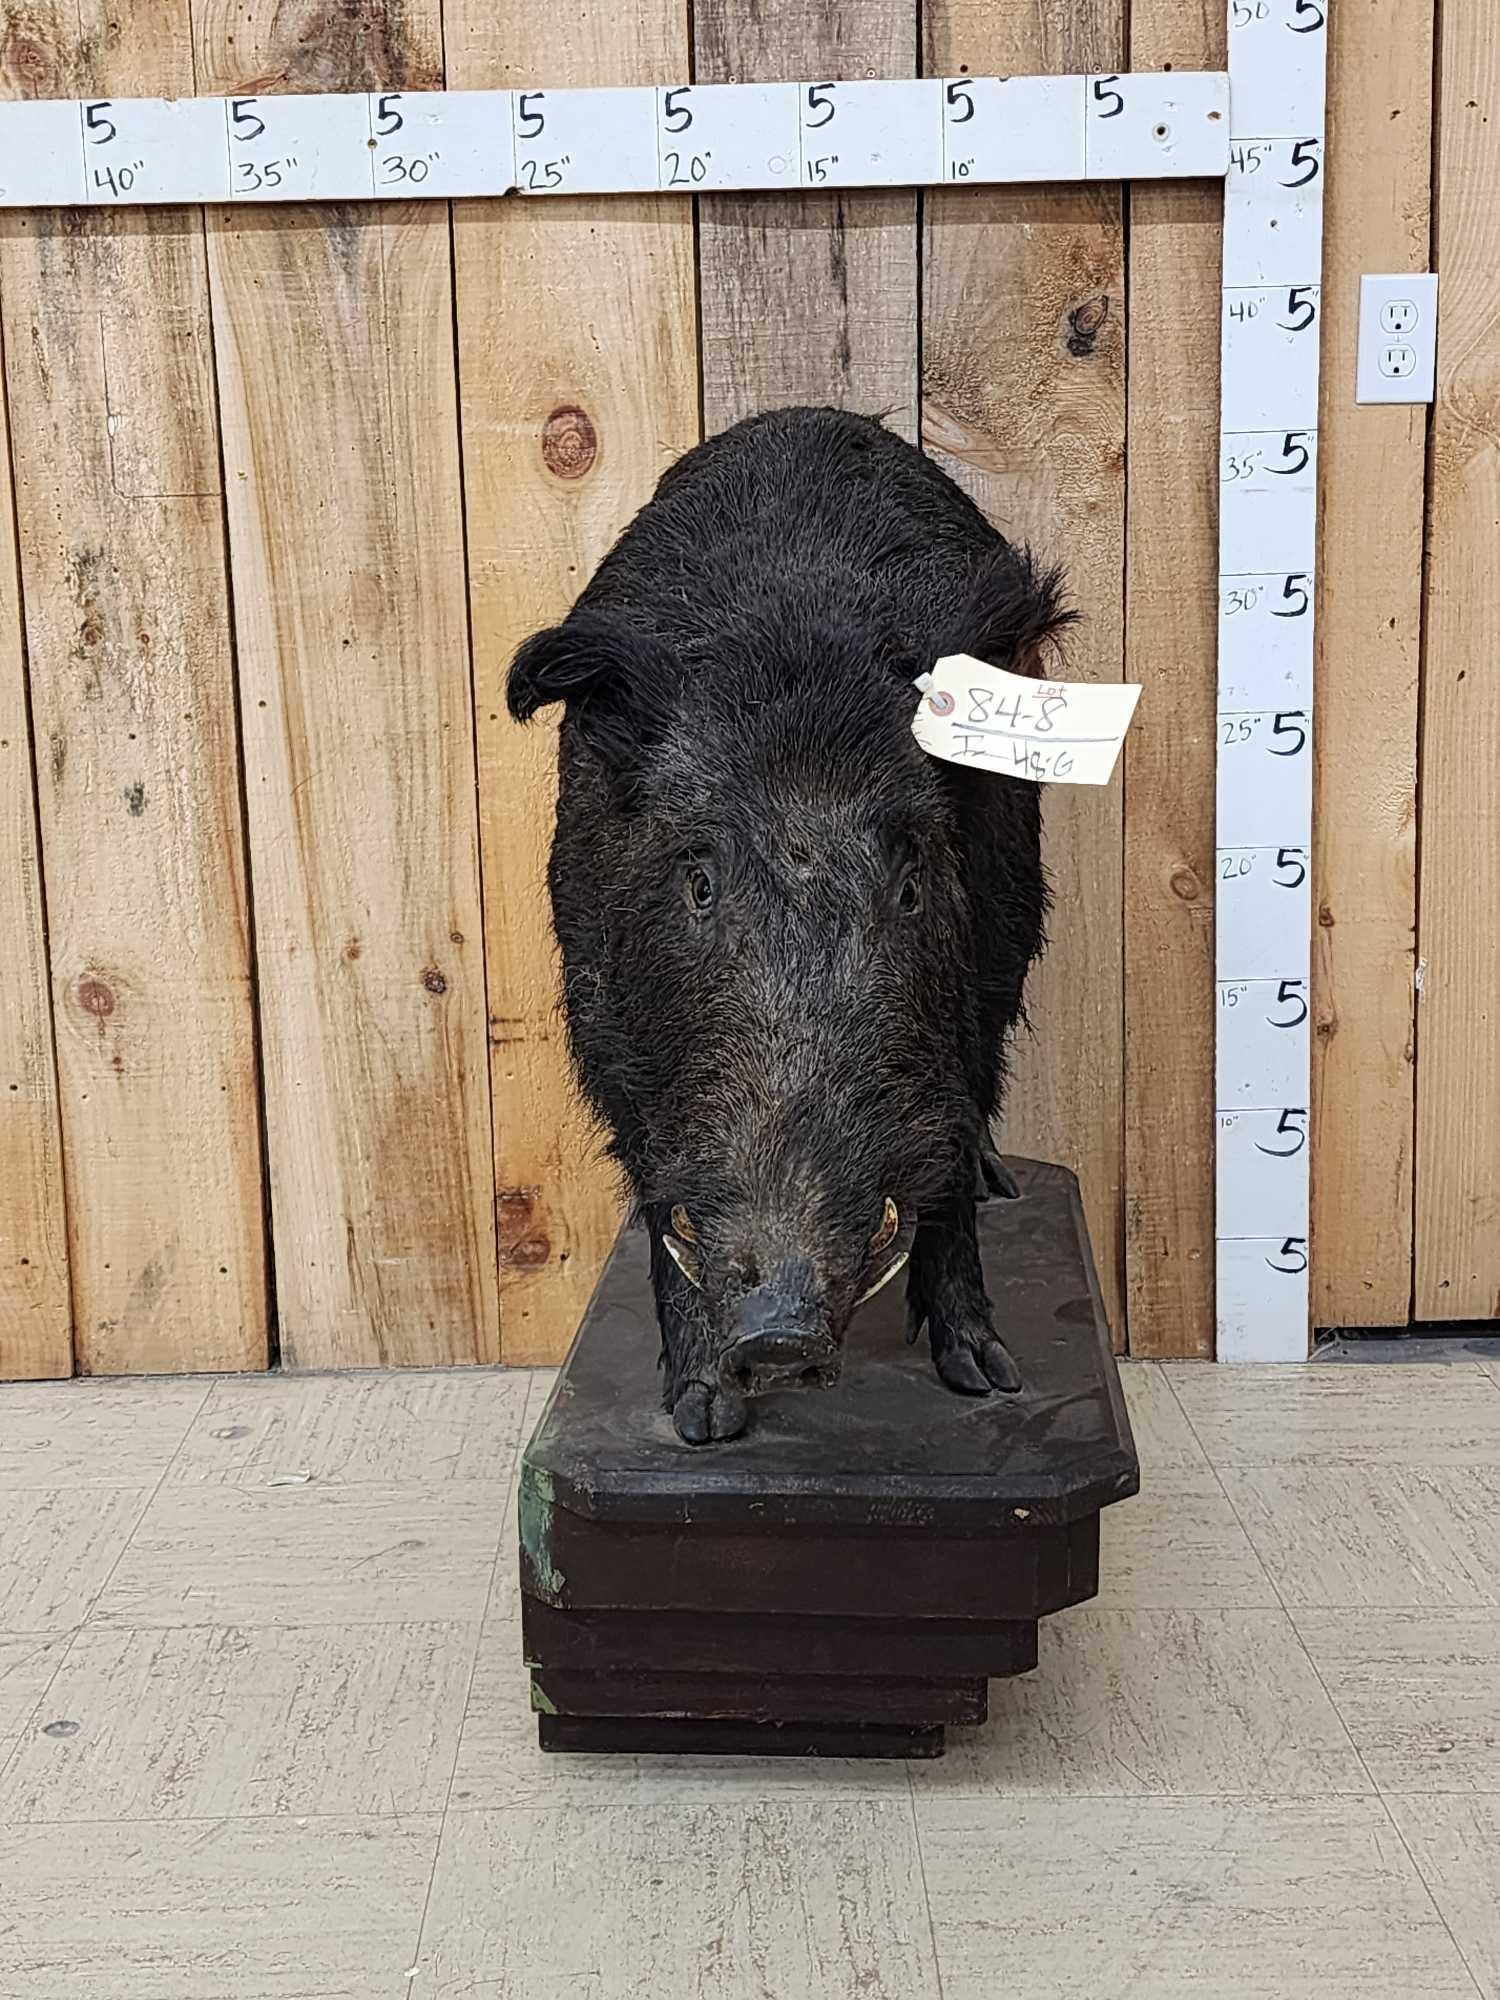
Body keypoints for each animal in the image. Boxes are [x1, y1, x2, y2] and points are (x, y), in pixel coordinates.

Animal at [508, 405, 1071, 1444]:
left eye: (911, 886)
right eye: (697, 882)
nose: (780, 1332)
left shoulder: (982, 984)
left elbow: (951, 1163)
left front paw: (989, 1382)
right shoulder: (610, 1031)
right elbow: (662, 1202)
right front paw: (701, 1421)